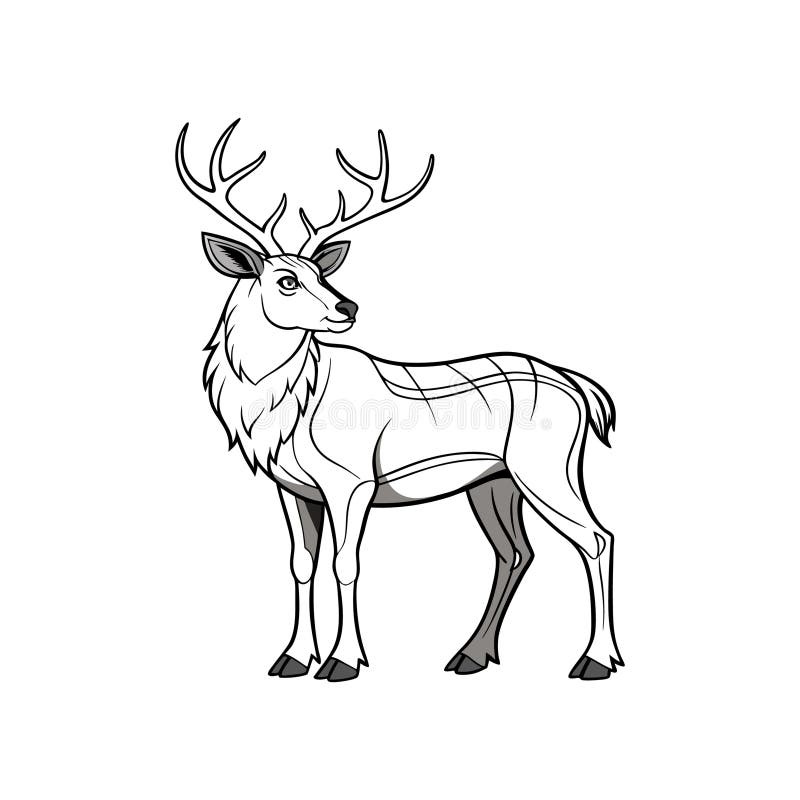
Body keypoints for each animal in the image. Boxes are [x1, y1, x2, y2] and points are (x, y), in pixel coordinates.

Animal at [176, 120, 624, 682]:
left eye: (323, 274)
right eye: (288, 279)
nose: (347, 306)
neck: (283, 412)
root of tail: (579, 387)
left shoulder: (352, 480)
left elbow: (346, 564)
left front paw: (343, 660)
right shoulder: (291, 486)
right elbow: (301, 563)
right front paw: (293, 657)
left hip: (547, 467)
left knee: (597, 538)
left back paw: (596, 660)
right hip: (493, 480)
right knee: (516, 551)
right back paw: (471, 654)